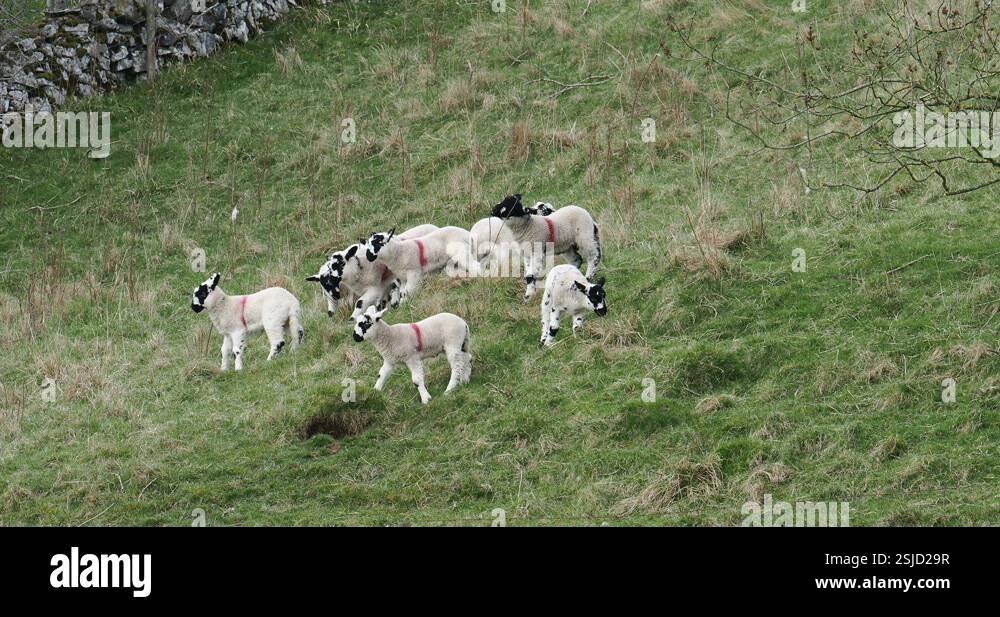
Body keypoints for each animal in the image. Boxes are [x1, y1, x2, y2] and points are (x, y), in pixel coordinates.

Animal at [306, 224, 439, 319]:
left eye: (341, 263)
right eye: (322, 283)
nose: (335, 295)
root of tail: (433, 226)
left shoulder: (375, 289)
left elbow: (360, 302)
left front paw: (352, 319)